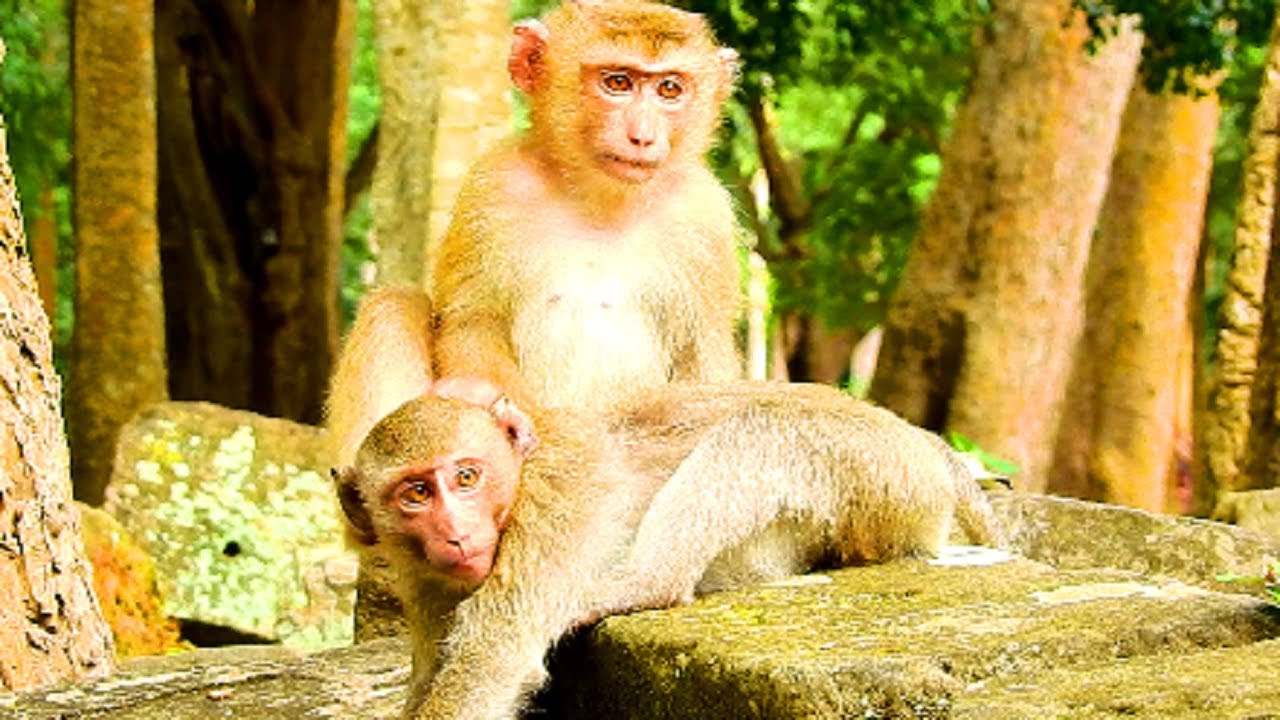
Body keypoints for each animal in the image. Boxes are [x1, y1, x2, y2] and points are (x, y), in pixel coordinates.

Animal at [326, 0, 744, 468]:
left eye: (669, 89)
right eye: (617, 82)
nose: (642, 136)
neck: (602, 201)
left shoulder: (706, 218)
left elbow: (701, 360)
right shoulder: (494, 189)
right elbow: (473, 324)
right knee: (393, 304)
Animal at [333, 380, 1003, 719]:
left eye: (467, 477)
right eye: (417, 493)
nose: (455, 530)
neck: (517, 475)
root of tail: (920, 439)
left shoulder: (551, 502)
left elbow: (492, 659)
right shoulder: (421, 580)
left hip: (883, 473)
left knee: (759, 429)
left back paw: (645, 582)